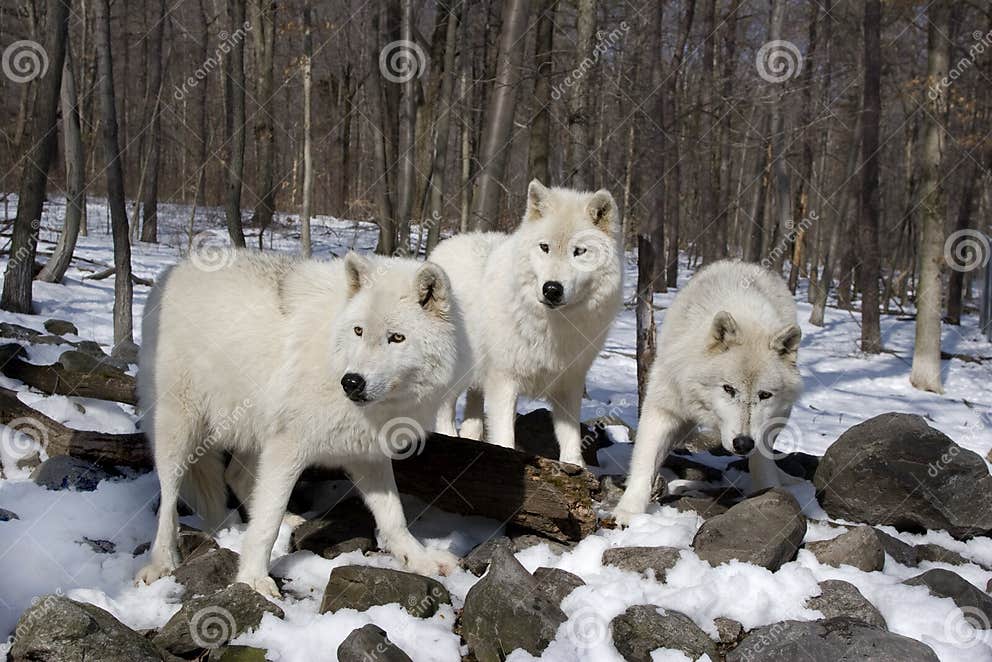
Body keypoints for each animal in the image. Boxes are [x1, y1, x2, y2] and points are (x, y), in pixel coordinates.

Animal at [135, 250, 461, 597]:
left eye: (396, 338)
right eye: (359, 331)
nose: (352, 382)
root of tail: (174, 270)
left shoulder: (367, 454)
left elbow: (394, 516)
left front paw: (419, 558)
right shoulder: (287, 447)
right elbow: (267, 522)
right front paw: (252, 579)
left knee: (235, 476)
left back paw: (289, 521)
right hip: (178, 431)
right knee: (170, 497)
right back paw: (161, 562)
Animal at [429, 180, 624, 466]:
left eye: (579, 251)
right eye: (544, 247)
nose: (552, 289)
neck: (553, 326)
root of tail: (445, 245)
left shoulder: (569, 382)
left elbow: (571, 436)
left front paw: (575, 466)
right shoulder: (504, 380)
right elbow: (504, 436)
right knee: (443, 411)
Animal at [614, 260, 803, 524]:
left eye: (764, 395)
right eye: (728, 389)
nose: (743, 443)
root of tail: (744, 263)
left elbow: (763, 464)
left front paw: (770, 494)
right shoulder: (663, 409)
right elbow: (645, 460)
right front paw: (629, 511)